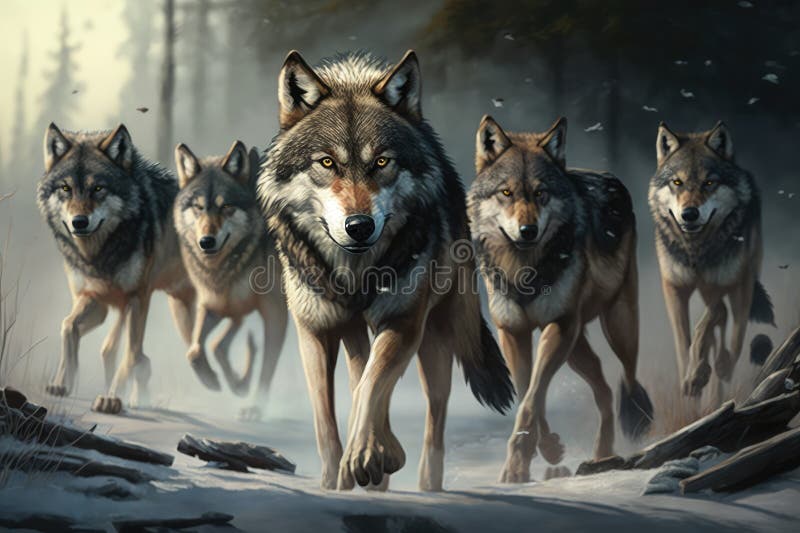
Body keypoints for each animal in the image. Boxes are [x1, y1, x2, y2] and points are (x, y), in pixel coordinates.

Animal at [37, 123, 195, 413]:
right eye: (66, 188)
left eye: (98, 188)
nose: (79, 222)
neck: (100, 254)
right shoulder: (93, 299)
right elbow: (68, 327)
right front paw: (64, 381)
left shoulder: (136, 297)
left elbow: (128, 354)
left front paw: (111, 398)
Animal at [173, 140, 287, 414]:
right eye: (199, 207)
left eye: (226, 207)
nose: (206, 241)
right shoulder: (212, 304)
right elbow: (194, 350)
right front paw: (211, 380)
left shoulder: (276, 313)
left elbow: (267, 367)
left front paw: (256, 408)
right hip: (234, 308)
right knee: (220, 345)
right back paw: (236, 382)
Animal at [257, 50, 514, 491]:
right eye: (327, 162)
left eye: (381, 162)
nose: (359, 226)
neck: (355, 274)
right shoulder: (315, 329)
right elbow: (327, 419)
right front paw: (337, 479)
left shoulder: (402, 322)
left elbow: (371, 388)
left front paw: (368, 455)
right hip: (357, 330)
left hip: (437, 339)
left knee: (432, 419)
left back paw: (422, 482)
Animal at [468, 116, 654, 483]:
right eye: (507, 192)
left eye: (541, 193)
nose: (527, 230)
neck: (523, 270)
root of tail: (611, 177)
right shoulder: (513, 333)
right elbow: (528, 392)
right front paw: (547, 448)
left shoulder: (558, 326)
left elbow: (531, 398)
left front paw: (516, 466)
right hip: (576, 347)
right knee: (602, 388)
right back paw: (601, 453)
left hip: (617, 325)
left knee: (627, 376)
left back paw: (626, 430)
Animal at [649, 122, 774, 400]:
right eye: (677, 182)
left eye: (709, 183)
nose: (689, 213)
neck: (696, 251)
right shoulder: (674, 288)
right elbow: (685, 343)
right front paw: (691, 379)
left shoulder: (728, 284)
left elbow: (710, 327)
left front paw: (702, 374)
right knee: (720, 325)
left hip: (739, 285)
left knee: (728, 330)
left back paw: (718, 374)